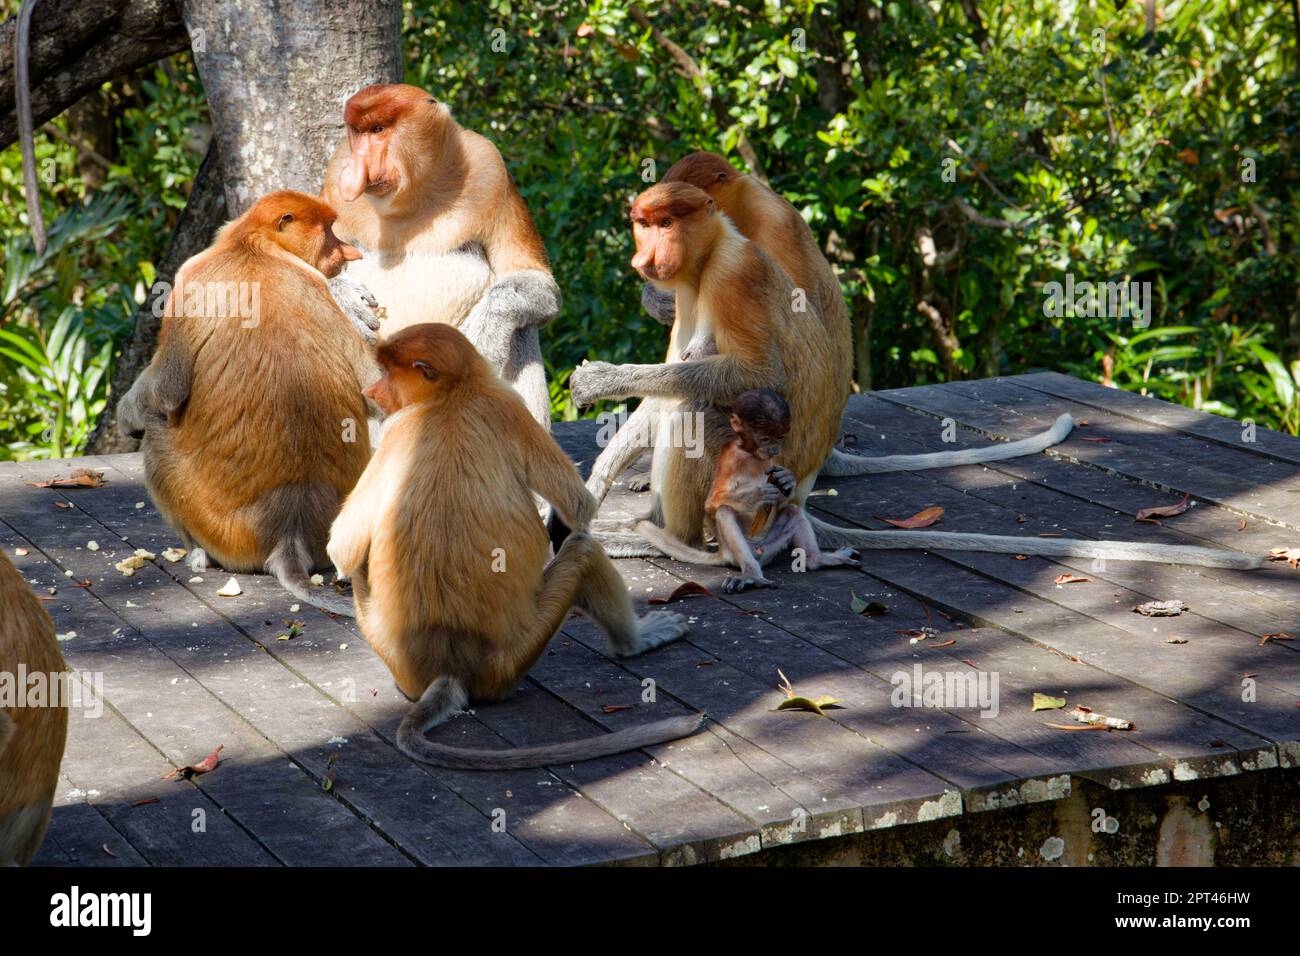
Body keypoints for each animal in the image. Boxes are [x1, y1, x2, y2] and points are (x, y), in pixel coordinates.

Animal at [117, 191, 378, 615]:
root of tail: (288, 529)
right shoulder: (315, 283)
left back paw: (199, 554)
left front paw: (127, 418)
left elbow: (167, 390)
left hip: (218, 526)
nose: (349, 253)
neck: (254, 246)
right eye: (328, 230)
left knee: (158, 434)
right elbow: (372, 386)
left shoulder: (190, 274)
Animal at [322, 83, 560, 428]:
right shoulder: (335, 172)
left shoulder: (491, 169)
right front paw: (347, 297)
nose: (357, 167)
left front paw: (481, 338)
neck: (412, 196)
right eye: (357, 132)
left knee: (521, 326)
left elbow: (533, 278)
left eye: (378, 130)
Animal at [326, 322, 702, 770]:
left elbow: (343, 548)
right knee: (583, 551)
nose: (371, 391)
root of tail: (452, 665)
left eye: (386, 371)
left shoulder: (400, 428)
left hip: (407, 653)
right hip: (514, 657)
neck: (451, 395)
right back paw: (636, 642)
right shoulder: (504, 404)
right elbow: (579, 506)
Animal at [570, 181, 1266, 571]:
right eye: (643, 223)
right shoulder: (686, 292)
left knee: (699, 413)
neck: (708, 251)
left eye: (666, 223)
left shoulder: (731, 277)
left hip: (756, 490)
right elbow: (673, 380)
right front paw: (593, 484)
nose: (645, 255)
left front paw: (599, 380)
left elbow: (749, 374)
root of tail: (799, 493)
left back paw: (670, 540)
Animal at [637, 389, 860, 593]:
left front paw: (786, 480)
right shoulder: (730, 457)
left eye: (780, 437)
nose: (773, 449)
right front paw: (755, 497)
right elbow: (712, 502)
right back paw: (751, 575)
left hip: (771, 545)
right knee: (724, 512)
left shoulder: (775, 460)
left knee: (793, 511)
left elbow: (786, 494)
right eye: (765, 438)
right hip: (734, 550)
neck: (753, 456)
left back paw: (817, 559)